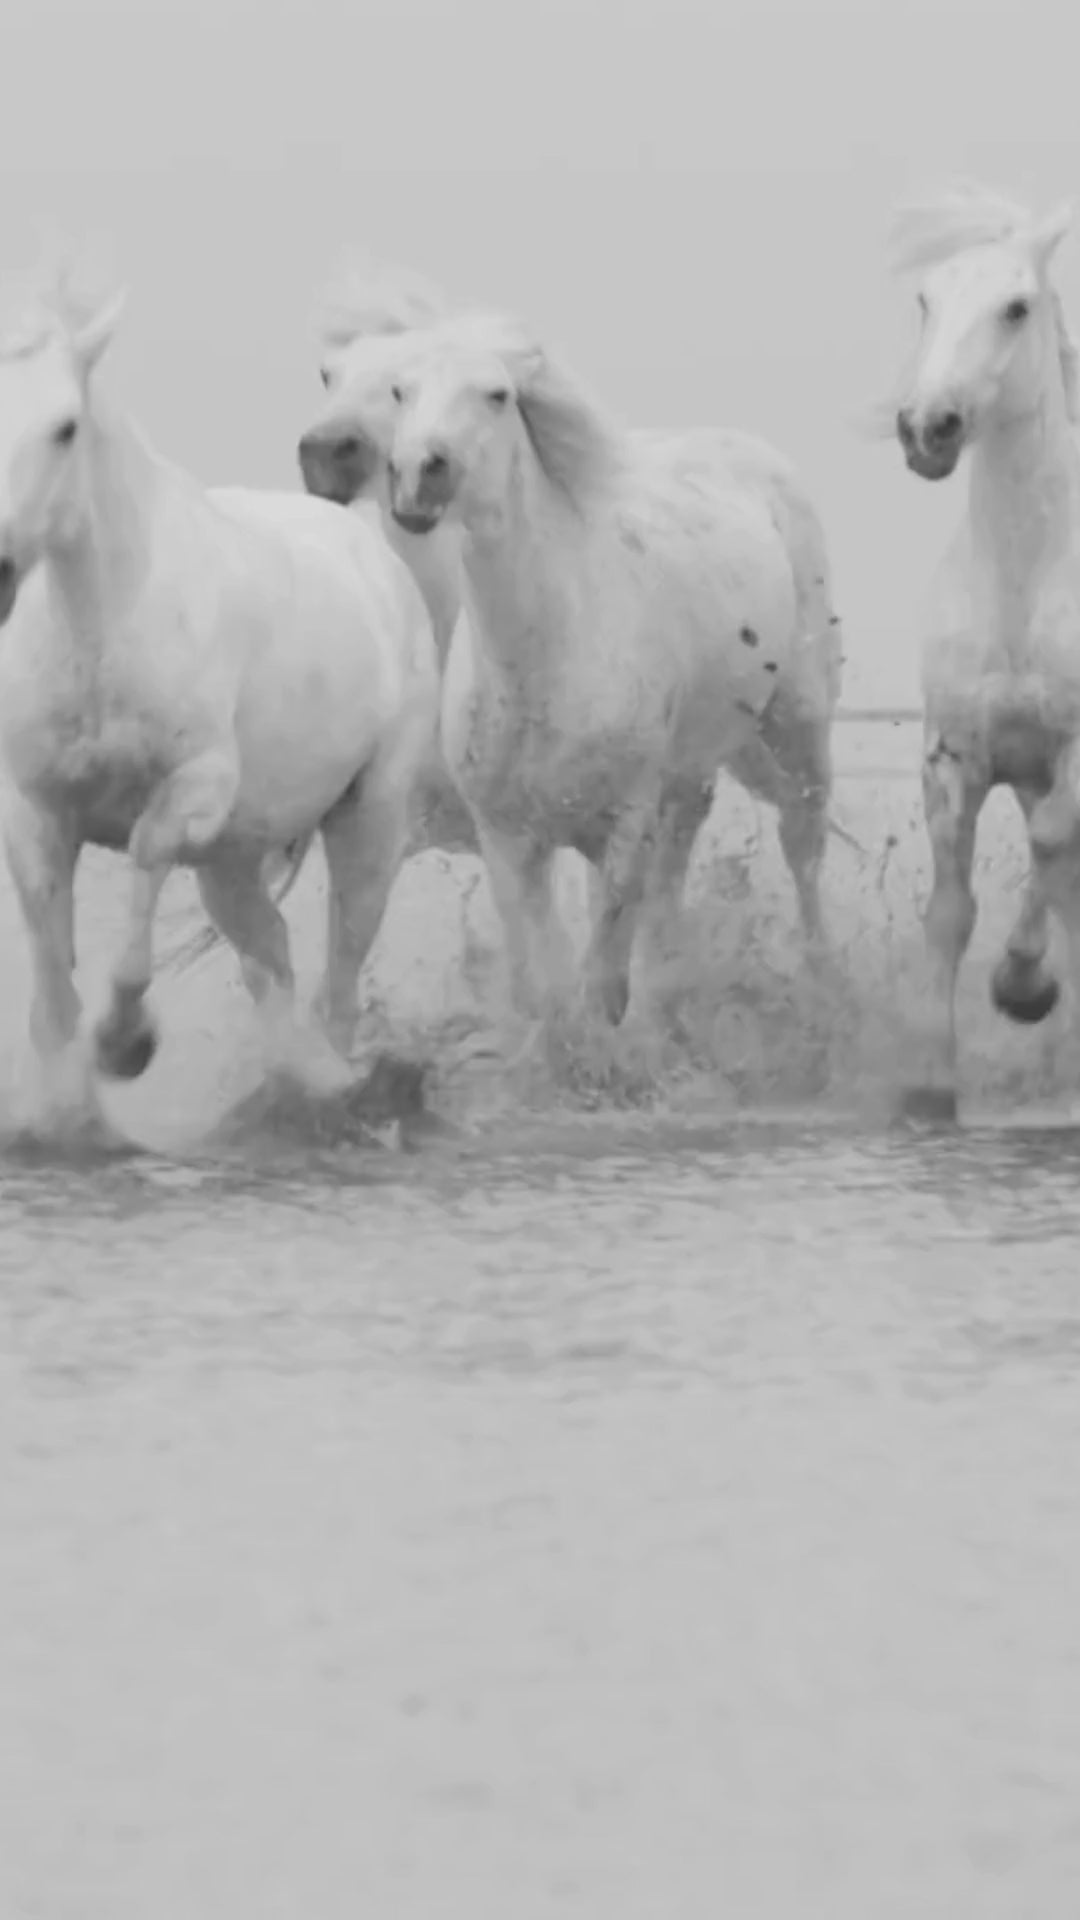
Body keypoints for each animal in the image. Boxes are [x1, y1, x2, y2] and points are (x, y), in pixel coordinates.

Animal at [0, 269, 439, 1142]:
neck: (103, 631)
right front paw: (61, 1109)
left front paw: (125, 1043)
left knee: (339, 972)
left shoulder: (194, 791)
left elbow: (142, 858)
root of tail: (370, 553)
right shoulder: (36, 809)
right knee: (271, 955)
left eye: (64, 428)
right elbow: (50, 962)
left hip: (370, 825)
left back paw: (339, 1089)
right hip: (236, 860)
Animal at [296, 292, 845, 1030]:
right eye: (333, 374)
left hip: (795, 730)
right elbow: (535, 986)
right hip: (687, 777)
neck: (540, 663)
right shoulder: (496, 839)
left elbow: (600, 983)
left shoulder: (622, 824)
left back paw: (820, 986)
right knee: (677, 875)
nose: (414, 471)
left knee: (802, 848)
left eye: (497, 394)